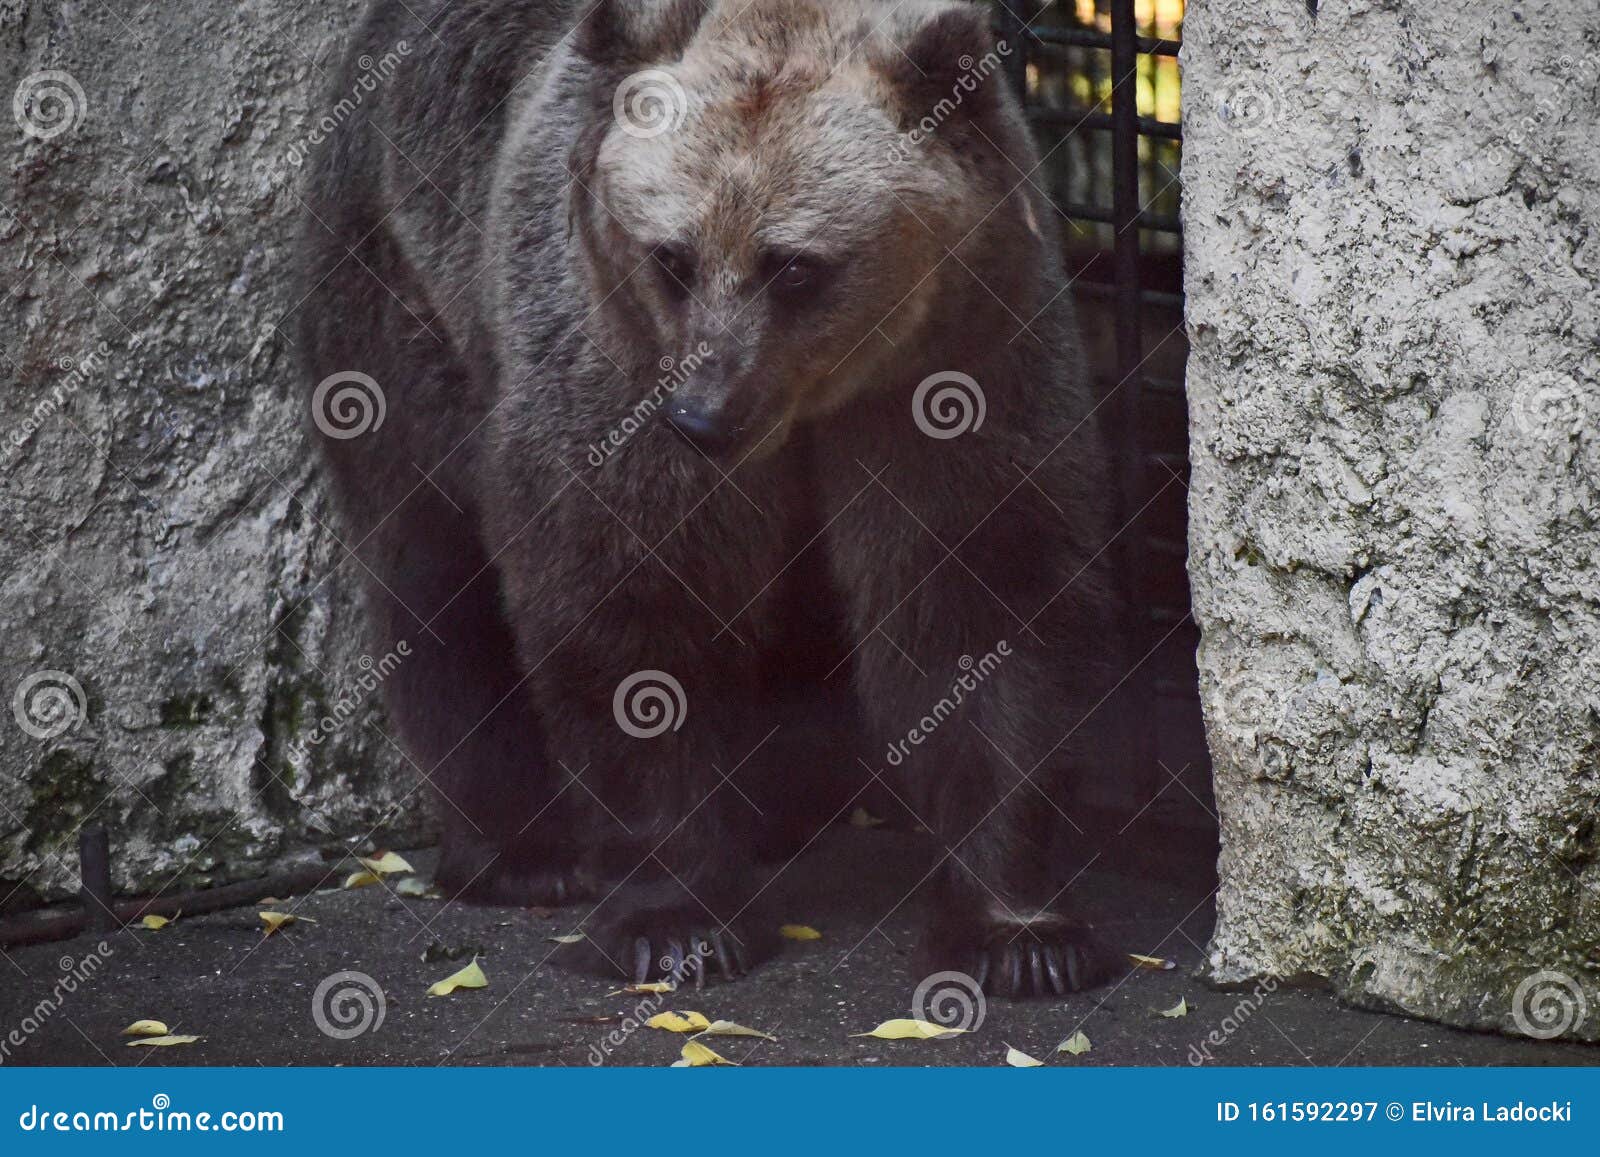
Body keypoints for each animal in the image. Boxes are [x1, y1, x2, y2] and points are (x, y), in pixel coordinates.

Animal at [297, 0, 1121, 996]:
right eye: (673, 258)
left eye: (794, 265)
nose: (706, 413)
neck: (813, 401)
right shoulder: (611, 355)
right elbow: (638, 609)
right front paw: (677, 920)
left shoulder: (963, 347)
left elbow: (981, 588)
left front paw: (1022, 929)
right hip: (403, 297)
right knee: (432, 566)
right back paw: (523, 853)